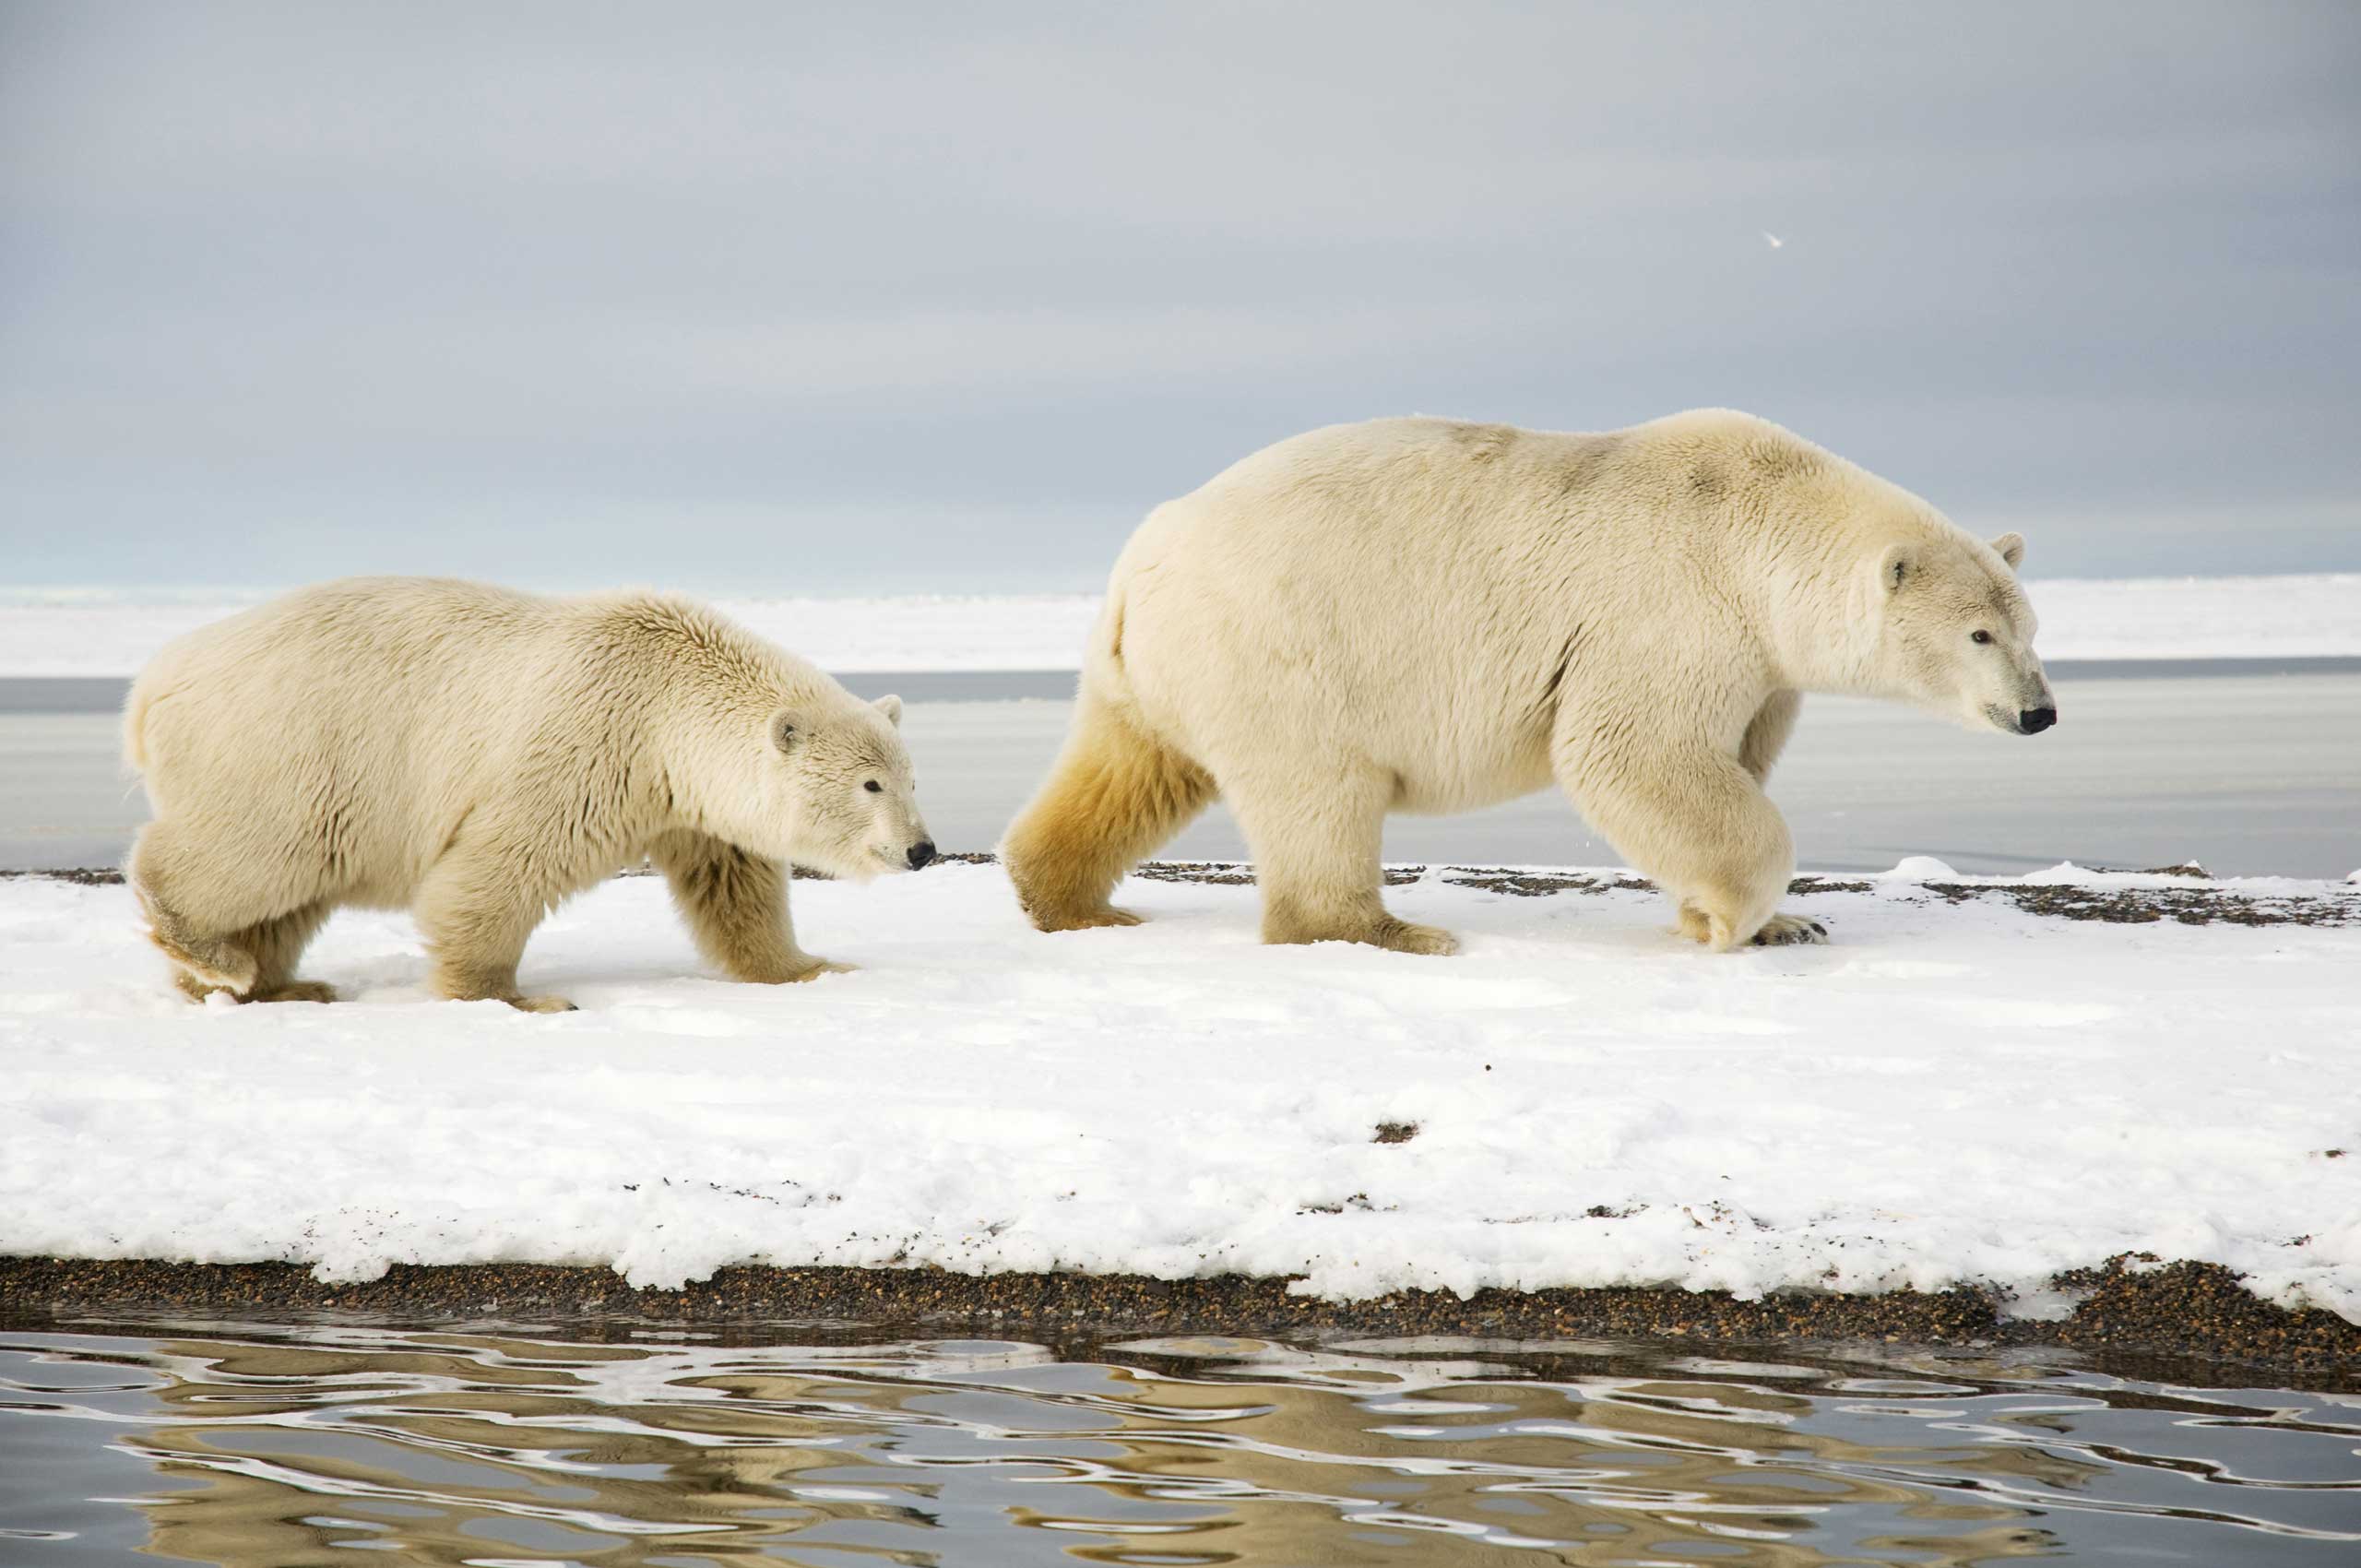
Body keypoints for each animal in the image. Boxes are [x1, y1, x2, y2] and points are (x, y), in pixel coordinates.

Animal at [123, 577, 933, 1011]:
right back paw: (220, 960)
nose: (922, 849)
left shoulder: (688, 802)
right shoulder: (588, 742)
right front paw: (516, 997)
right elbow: (501, 866)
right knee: (259, 854)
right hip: (295, 749)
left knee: (283, 900)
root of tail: (152, 684)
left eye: (912, 776)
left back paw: (274, 985)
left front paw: (814, 968)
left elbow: (736, 887)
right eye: (869, 782)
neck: (667, 700)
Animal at [1003, 410, 2055, 954]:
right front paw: (1733, 918)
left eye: (2030, 625)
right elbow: (1633, 753)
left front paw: (1785, 922)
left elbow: (1734, 759)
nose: (2040, 711)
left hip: (1151, 668)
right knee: (1318, 793)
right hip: (1281, 648)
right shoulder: (1669, 608)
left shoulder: (1762, 667)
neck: (1753, 524)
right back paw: (1391, 930)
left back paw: (1074, 900)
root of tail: (1140, 564)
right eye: (1978, 632)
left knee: (1131, 766)